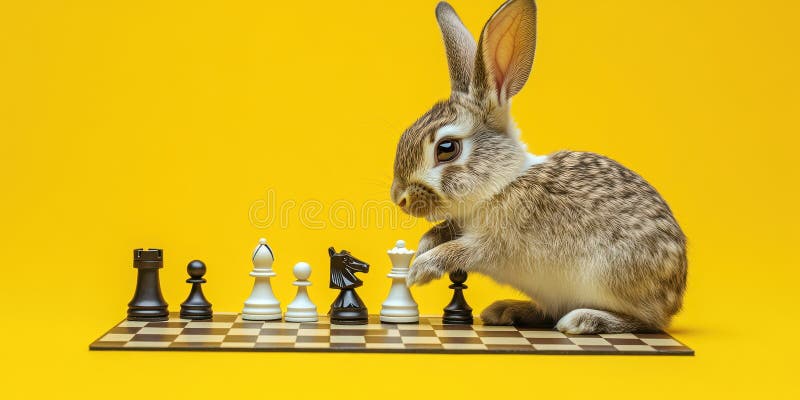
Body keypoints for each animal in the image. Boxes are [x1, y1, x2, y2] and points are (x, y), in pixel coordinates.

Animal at [390, 0, 687, 334]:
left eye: (446, 149)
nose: (399, 198)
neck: (500, 185)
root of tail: (674, 295)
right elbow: (438, 234)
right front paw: (419, 249)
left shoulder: (494, 244)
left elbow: (459, 252)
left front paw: (418, 270)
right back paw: (507, 310)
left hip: (613, 278)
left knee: (646, 322)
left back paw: (583, 320)